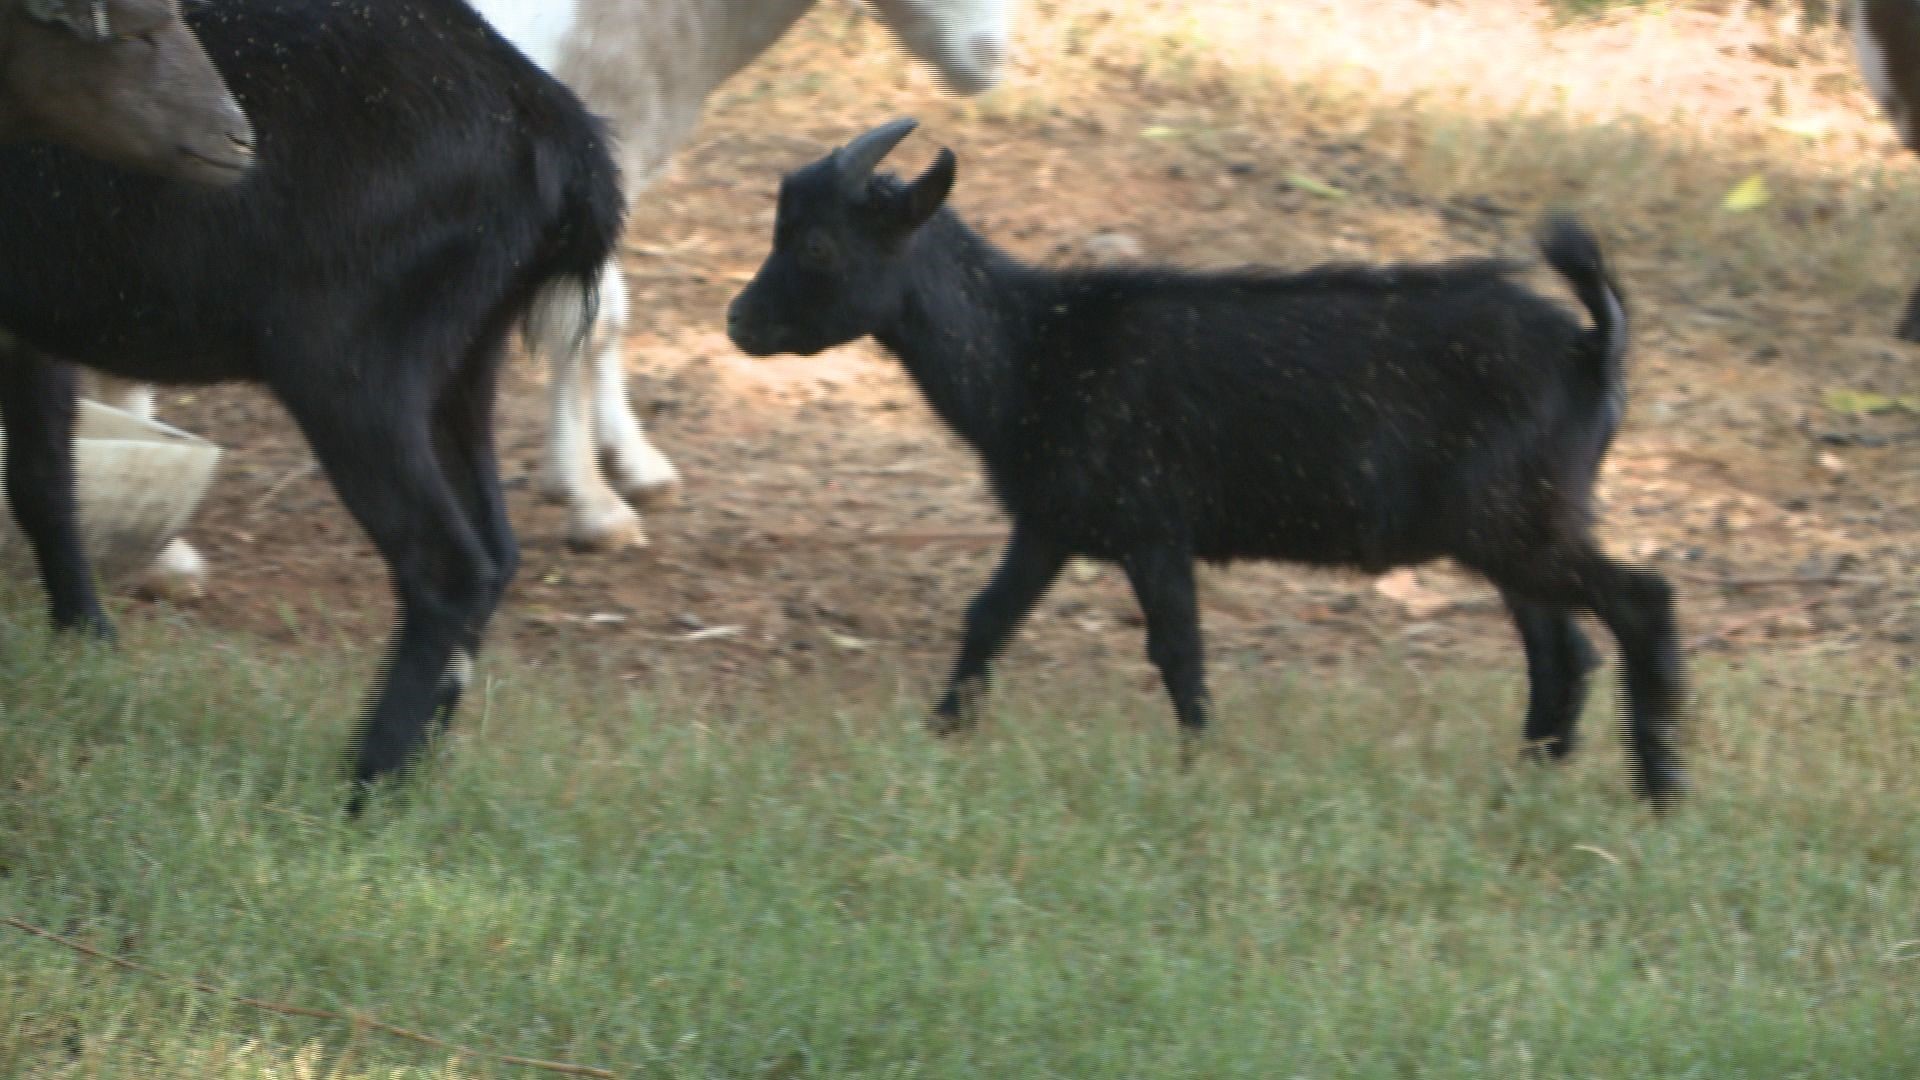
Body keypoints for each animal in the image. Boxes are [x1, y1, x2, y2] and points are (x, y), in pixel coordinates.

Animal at [726, 119, 1687, 805]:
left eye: (817, 246)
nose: (739, 322)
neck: (1034, 346)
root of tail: (1593, 347)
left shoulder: (1152, 524)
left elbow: (1177, 651)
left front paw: (1198, 771)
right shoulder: (1055, 521)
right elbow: (988, 619)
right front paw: (939, 741)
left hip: (1514, 518)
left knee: (1638, 604)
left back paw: (1658, 791)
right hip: (1513, 526)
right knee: (1562, 647)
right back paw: (1531, 780)